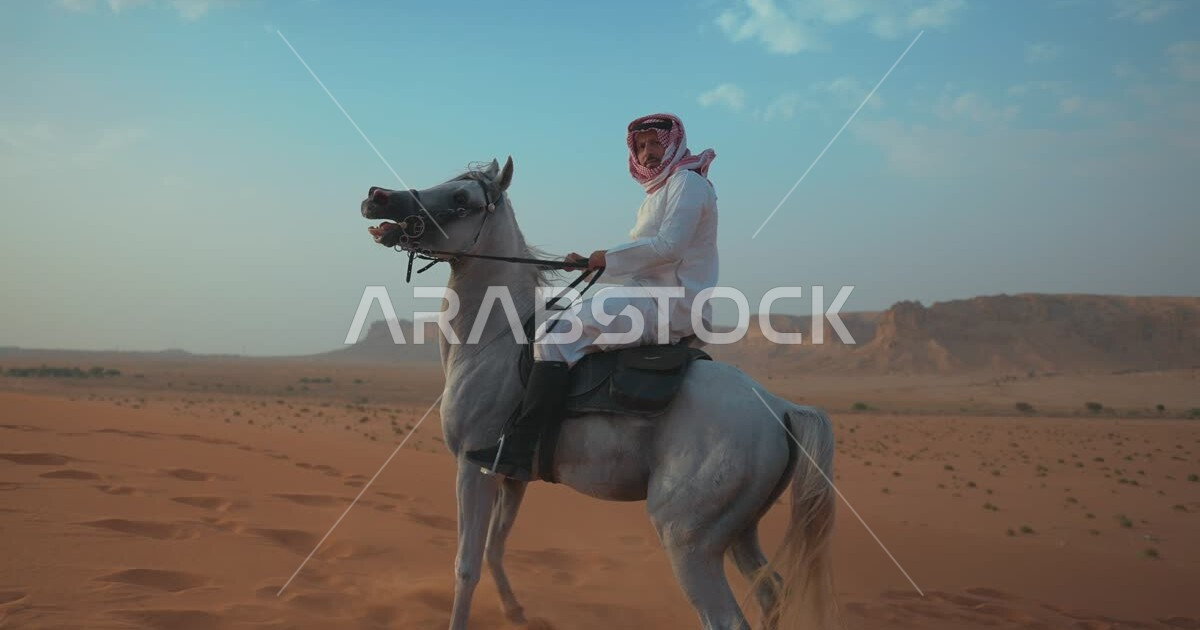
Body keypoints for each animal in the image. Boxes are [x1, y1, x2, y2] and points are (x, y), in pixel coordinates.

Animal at [360, 157, 837, 630]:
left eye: (461, 198)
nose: (377, 197)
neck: (495, 338)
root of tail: (781, 408)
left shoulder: (471, 466)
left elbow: (467, 565)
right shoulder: (511, 475)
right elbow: (497, 546)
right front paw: (515, 611)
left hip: (689, 542)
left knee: (727, 617)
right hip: (740, 532)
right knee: (771, 592)